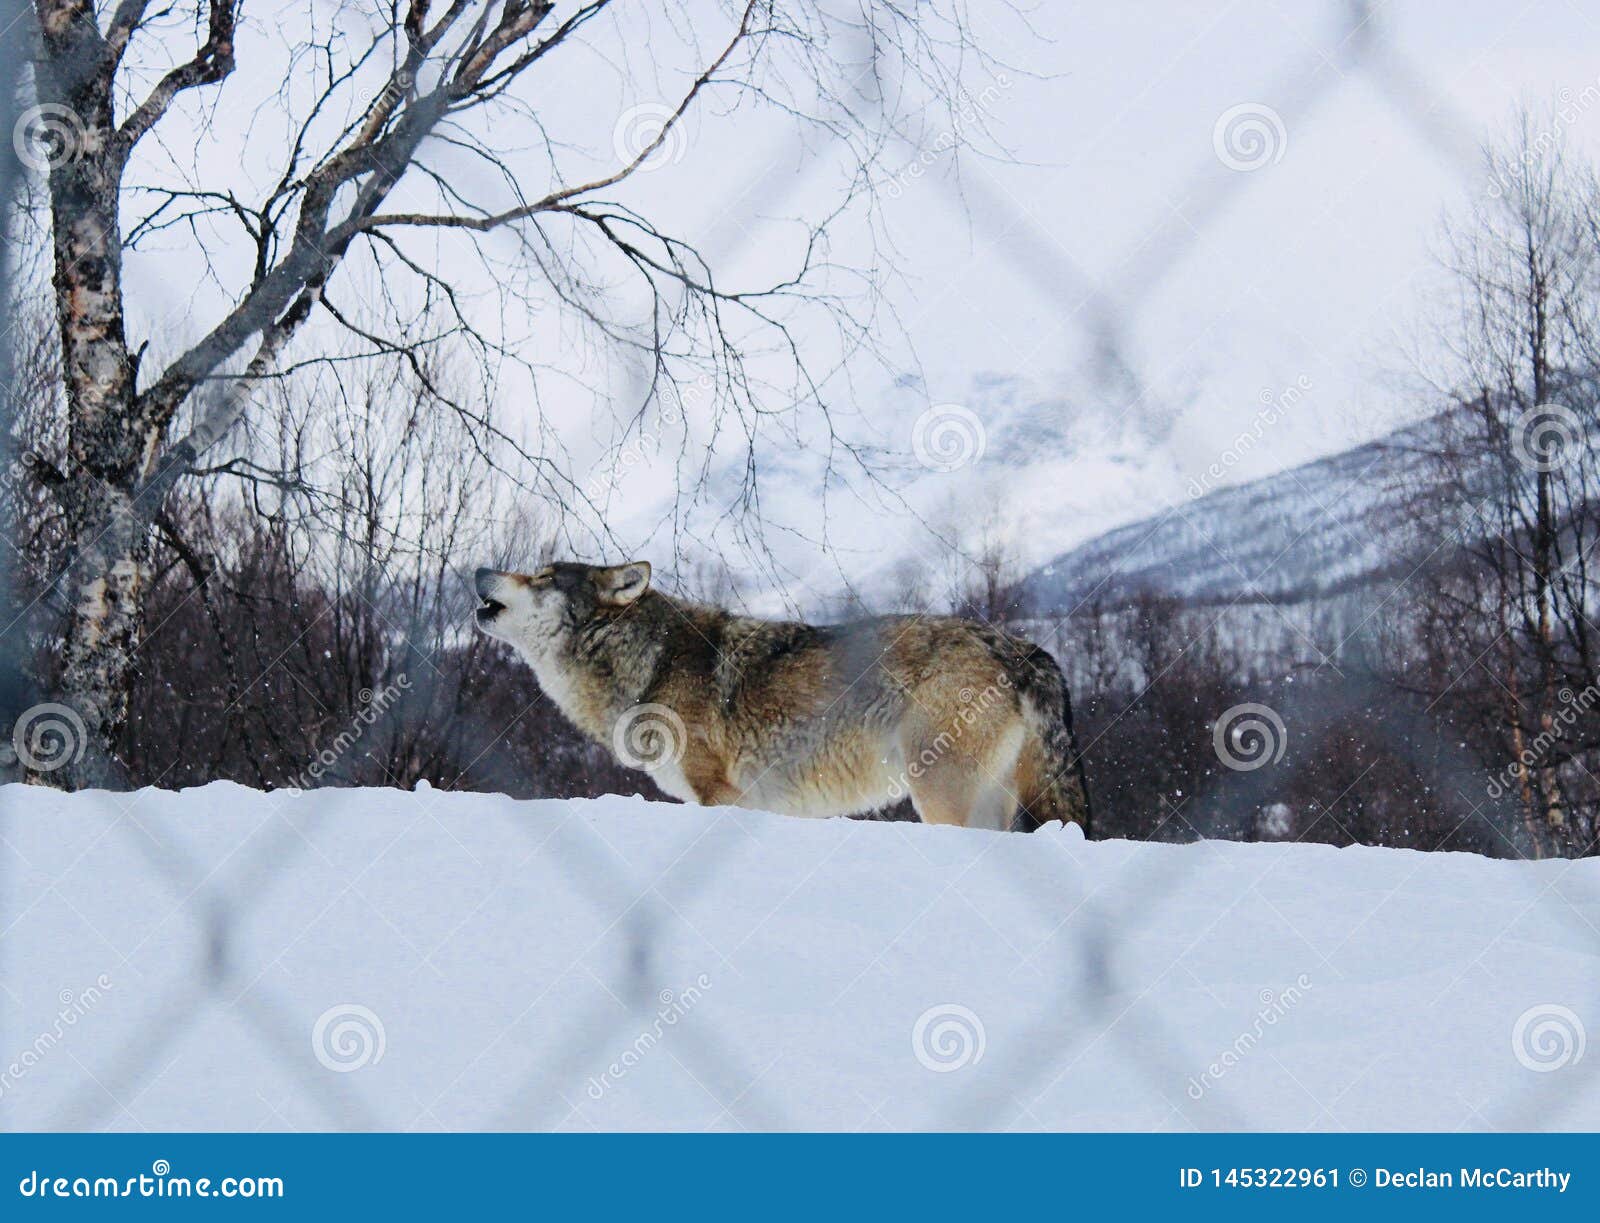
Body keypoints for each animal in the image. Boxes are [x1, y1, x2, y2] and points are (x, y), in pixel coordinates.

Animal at [474, 561, 1092, 833]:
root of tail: (1020, 646)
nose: (480, 569)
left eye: (544, 576)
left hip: (940, 794)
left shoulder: (720, 797)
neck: (645, 658)